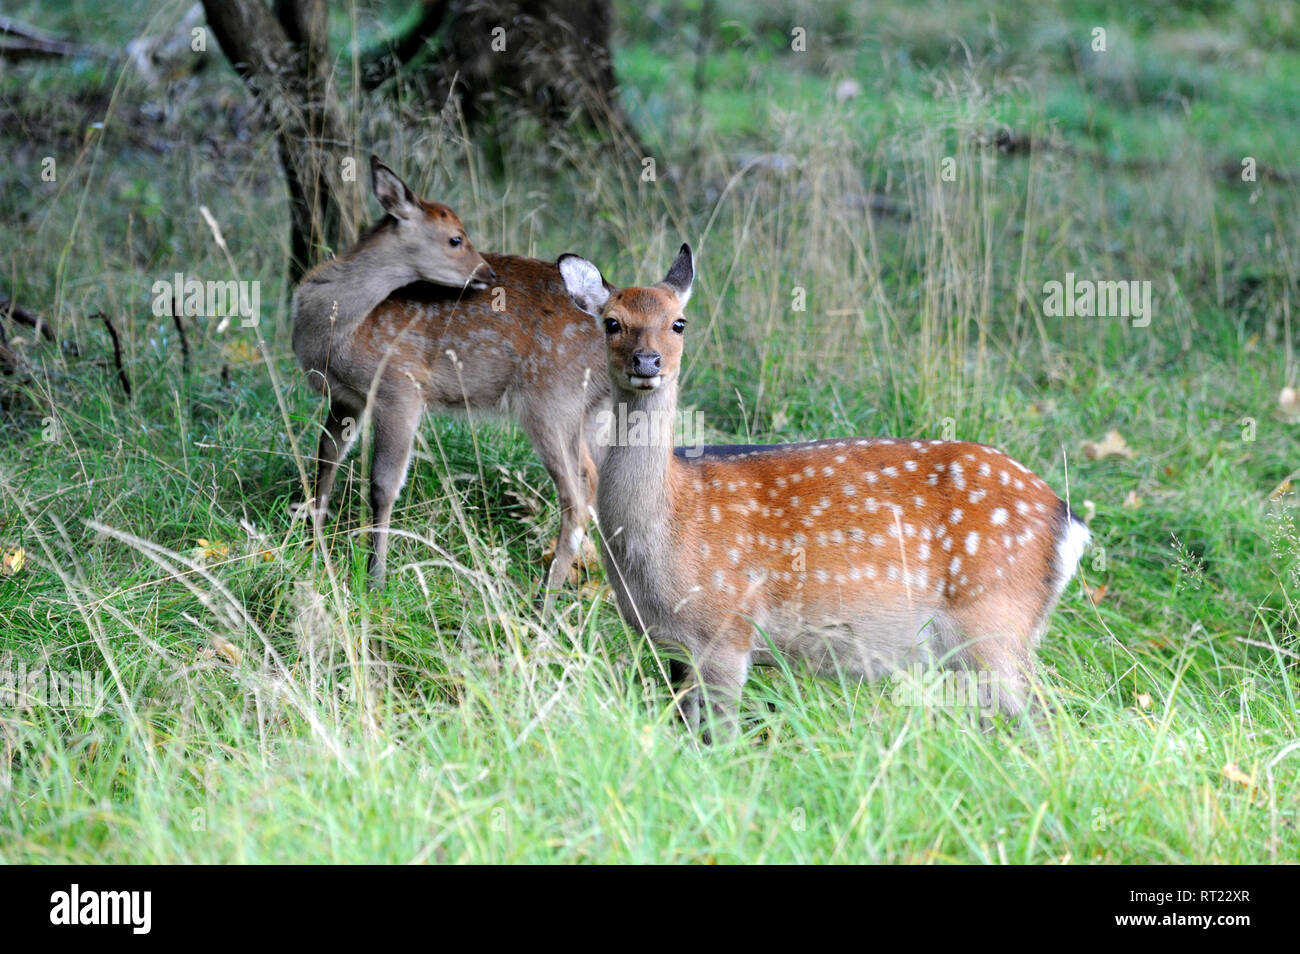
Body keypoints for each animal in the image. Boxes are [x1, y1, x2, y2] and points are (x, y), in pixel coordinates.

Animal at [291, 156, 609, 609]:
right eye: (456, 238)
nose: (487, 273)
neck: (340, 329)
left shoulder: (400, 386)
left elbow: (382, 485)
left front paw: (375, 577)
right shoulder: (346, 397)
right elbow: (325, 460)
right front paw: (311, 541)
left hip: (551, 399)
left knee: (576, 497)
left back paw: (544, 599)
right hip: (585, 411)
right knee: (594, 481)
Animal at [557, 244, 1091, 740]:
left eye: (679, 323)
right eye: (612, 322)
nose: (647, 361)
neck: (669, 528)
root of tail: (1068, 522)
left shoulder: (727, 630)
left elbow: (719, 737)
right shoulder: (674, 647)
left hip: (994, 619)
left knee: (1046, 721)